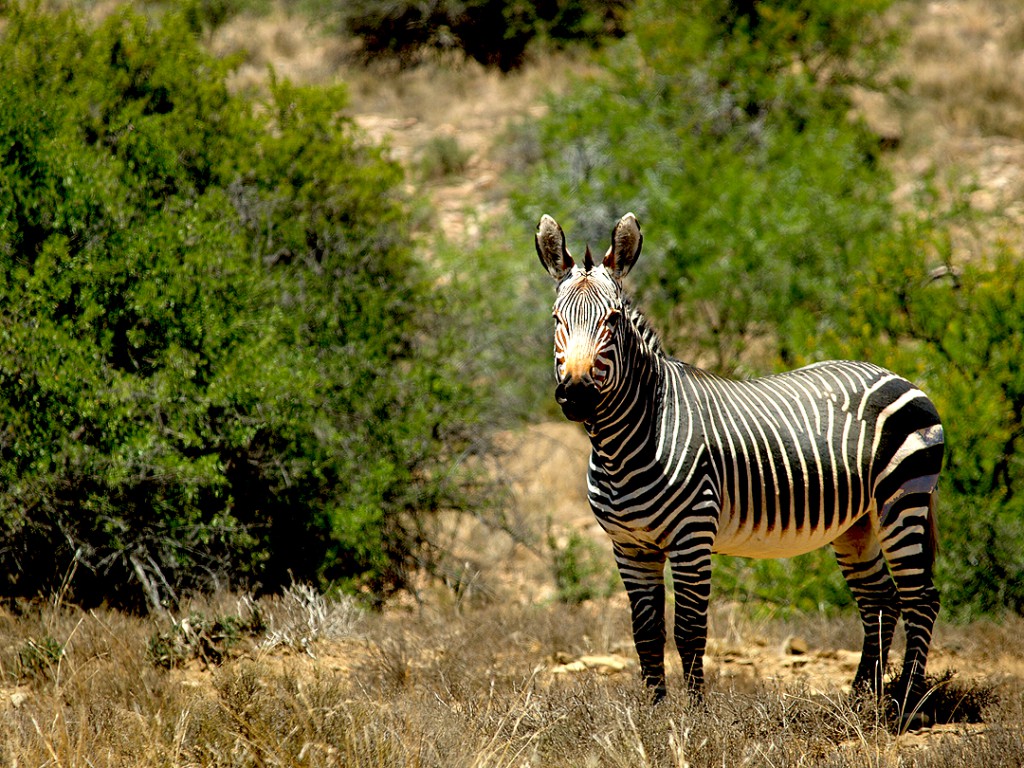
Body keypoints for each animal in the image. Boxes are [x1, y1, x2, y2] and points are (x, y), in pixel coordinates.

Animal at [535, 212, 943, 724]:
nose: (577, 394)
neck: (622, 448)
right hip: (858, 522)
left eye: (612, 321)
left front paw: (694, 717)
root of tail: (896, 374)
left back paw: (909, 703)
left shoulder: (691, 536)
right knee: (881, 601)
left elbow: (689, 631)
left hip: (902, 501)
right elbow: (645, 634)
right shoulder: (629, 547)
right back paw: (860, 700)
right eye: (557, 320)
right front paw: (654, 715)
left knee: (920, 598)